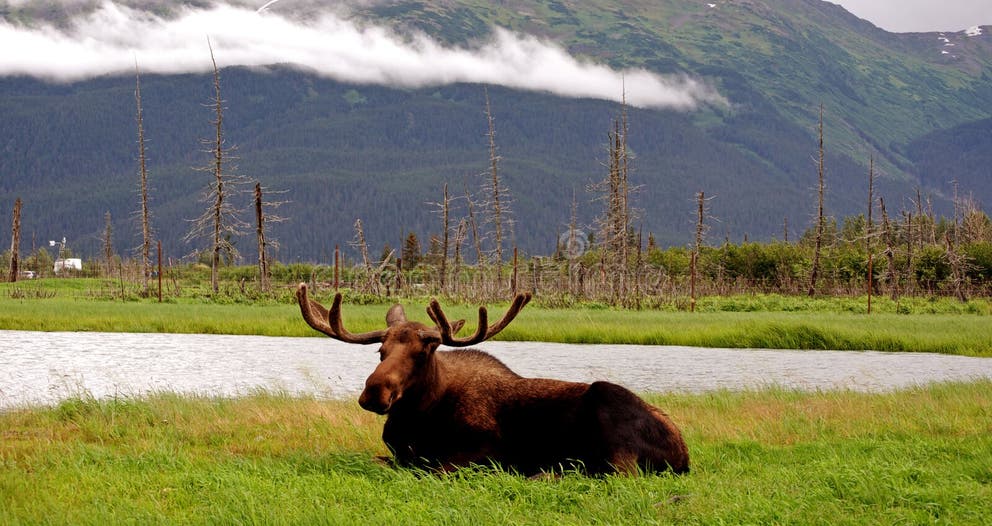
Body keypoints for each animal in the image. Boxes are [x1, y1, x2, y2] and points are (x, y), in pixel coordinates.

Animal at [296, 284, 689, 475]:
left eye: (424, 352)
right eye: (381, 351)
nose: (375, 392)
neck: (418, 419)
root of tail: (684, 456)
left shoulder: (483, 451)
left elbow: (431, 469)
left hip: (609, 409)